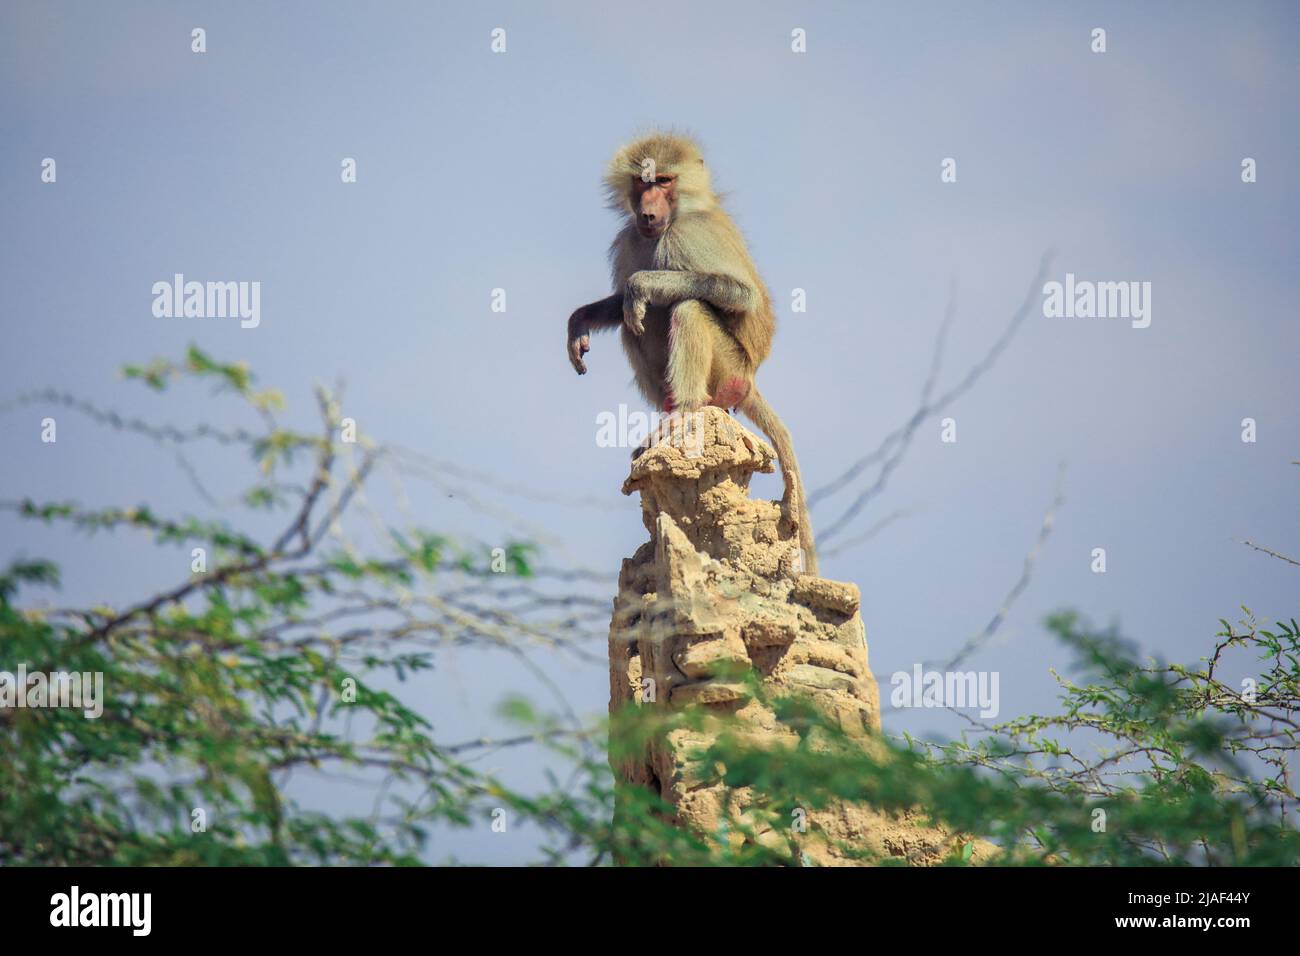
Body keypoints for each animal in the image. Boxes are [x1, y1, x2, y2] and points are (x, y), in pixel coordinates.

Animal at [566, 132, 818, 576]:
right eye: (642, 182)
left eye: (664, 181)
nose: (648, 213)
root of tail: (751, 380)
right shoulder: (631, 237)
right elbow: (622, 303)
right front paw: (580, 322)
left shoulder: (688, 233)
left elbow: (739, 294)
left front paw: (643, 284)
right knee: (635, 326)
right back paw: (665, 420)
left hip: (730, 366)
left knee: (686, 307)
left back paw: (684, 410)